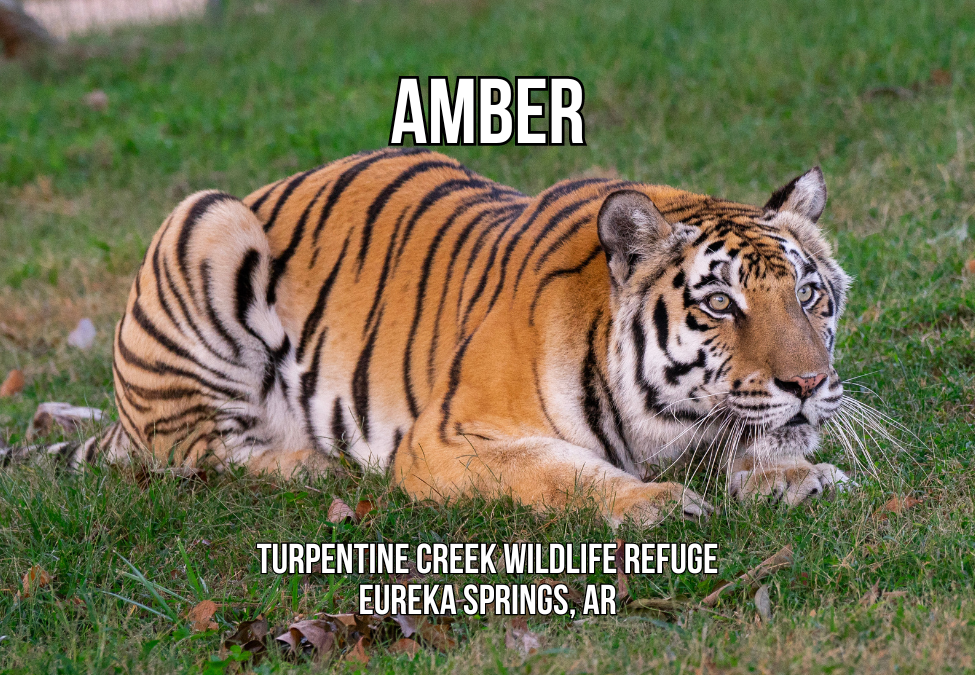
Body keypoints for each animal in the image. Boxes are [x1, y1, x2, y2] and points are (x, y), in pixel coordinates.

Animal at [16, 147, 854, 527]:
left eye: (808, 295)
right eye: (719, 304)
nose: (808, 384)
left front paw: (796, 475)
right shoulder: (445, 441)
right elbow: (562, 470)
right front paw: (658, 502)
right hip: (207, 218)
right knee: (195, 453)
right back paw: (309, 463)